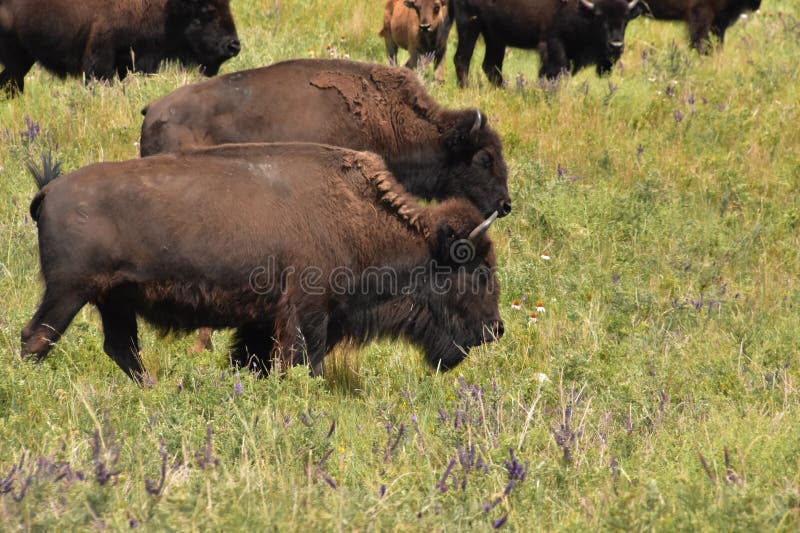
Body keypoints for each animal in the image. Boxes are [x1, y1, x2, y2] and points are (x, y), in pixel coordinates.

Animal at [22, 143, 503, 381]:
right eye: (477, 270)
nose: (496, 329)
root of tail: (50, 189)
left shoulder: (263, 321)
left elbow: (253, 361)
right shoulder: (307, 313)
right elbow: (304, 363)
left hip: (112, 300)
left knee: (121, 349)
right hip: (67, 294)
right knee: (36, 339)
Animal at [451, 0, 645, 85]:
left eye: (626, 20)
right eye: (600, 18)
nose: (616, 46)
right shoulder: (553, 43)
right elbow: (556, 71)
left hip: (495, 35)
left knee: (491, 66)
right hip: (469, 23)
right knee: (462, 58)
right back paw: (465, 88)